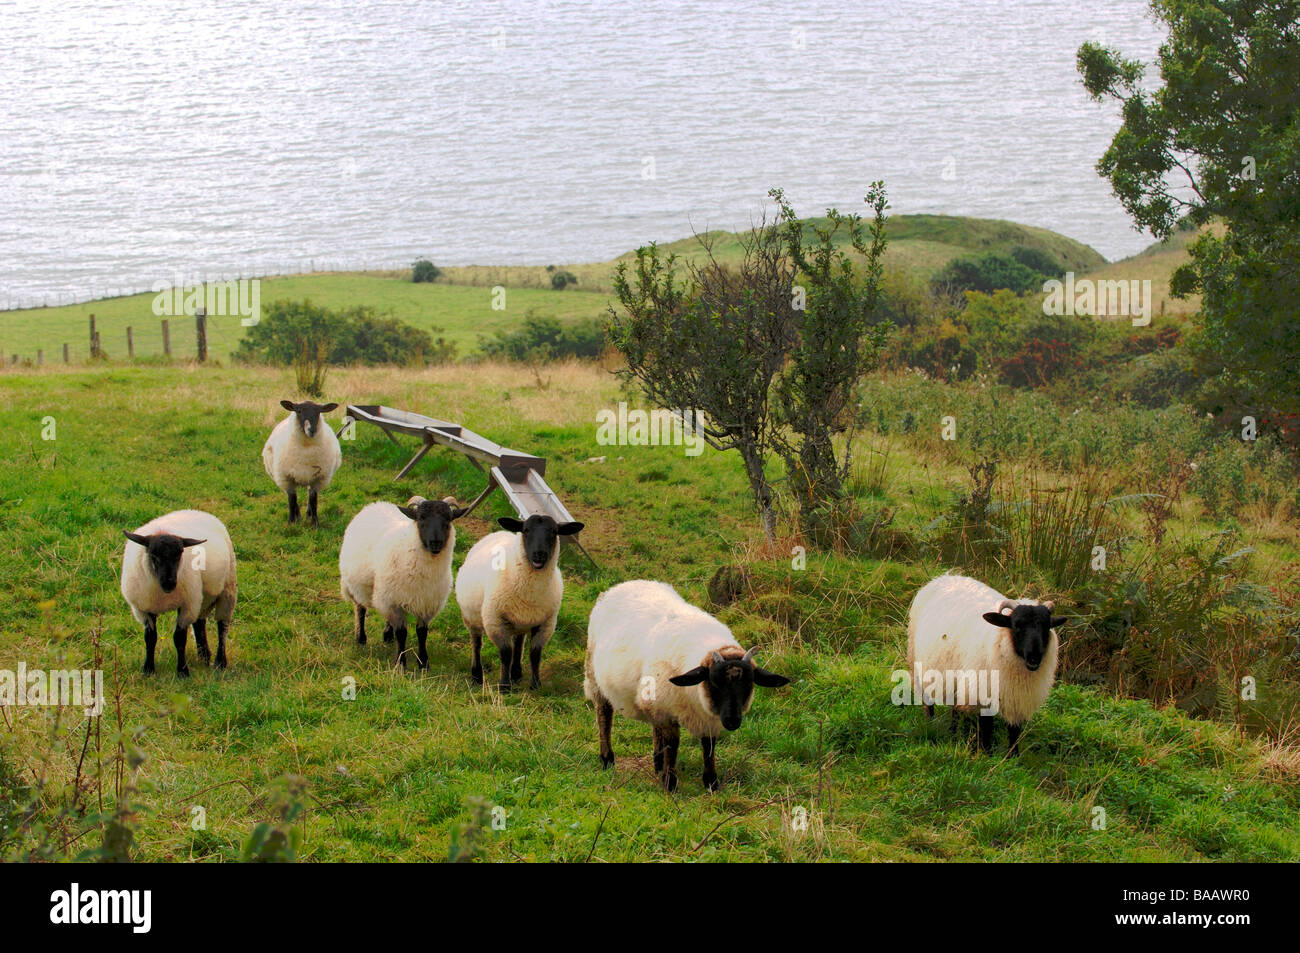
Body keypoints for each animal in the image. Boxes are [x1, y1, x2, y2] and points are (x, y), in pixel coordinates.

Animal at [120, 509, 237, 676]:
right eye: (153, 555)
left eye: (180, 553)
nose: (169, 583)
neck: (163, 595)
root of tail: (199, 512)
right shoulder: (143, 609)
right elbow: (150, 638)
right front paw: (148, 669)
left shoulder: (187, 605)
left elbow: (179, 639)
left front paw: (182, 671)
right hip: (201, 598)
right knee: (199, 622)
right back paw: (204, 656)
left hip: (227, 591)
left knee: (223, 626)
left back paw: (220, 663)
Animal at [339, 495, 465, 670]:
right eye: (421, 518)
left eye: (448, 519)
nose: (436, 543)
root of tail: (376, 504)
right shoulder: (395, 602)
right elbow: (402, 633)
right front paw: (400, 664)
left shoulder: (427, 604)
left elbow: (422, 632)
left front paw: (423, 662)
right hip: (359, 585)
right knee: (360, 609)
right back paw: (361, 638)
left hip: (386, 591)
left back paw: (387, 635)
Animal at [454, 514, 583, 692]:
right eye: (526, 530)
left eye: (554, 531)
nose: (539, 555)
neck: (531, 594)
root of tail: (498, 533)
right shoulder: (495, 620)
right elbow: (505, 653)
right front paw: (504, 686)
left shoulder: (546, 623)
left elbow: (535, 654)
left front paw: (536, 684)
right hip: (471, 617)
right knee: (477, 644)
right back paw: (477, 676)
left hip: (521, 622)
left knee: (519, 643)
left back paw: (516, 673)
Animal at [583, 580, 790, 792]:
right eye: (714, 682)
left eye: (749, 684)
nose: (732, 721)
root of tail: (622, 585)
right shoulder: (669, 708)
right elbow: (673, 744)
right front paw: (670, 783)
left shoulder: (702, 716)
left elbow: (709, 746)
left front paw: (711, 782)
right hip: (595, 677)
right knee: (604, 717)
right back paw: (607, 759)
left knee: (655, 728)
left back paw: (657, 763)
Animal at [905, 573, 1066, 754]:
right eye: (1016, 625)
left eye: (1046, 627)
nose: (1034, 658)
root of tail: (943, 577)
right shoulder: (982, 692)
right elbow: (986, 727)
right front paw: (985, 753)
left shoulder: (1016, 696)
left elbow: (1014, 731)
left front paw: (1013, 756)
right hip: (920, 667)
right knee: (928, 703)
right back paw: (930, 725)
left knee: (954, 708)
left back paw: (953, 732)